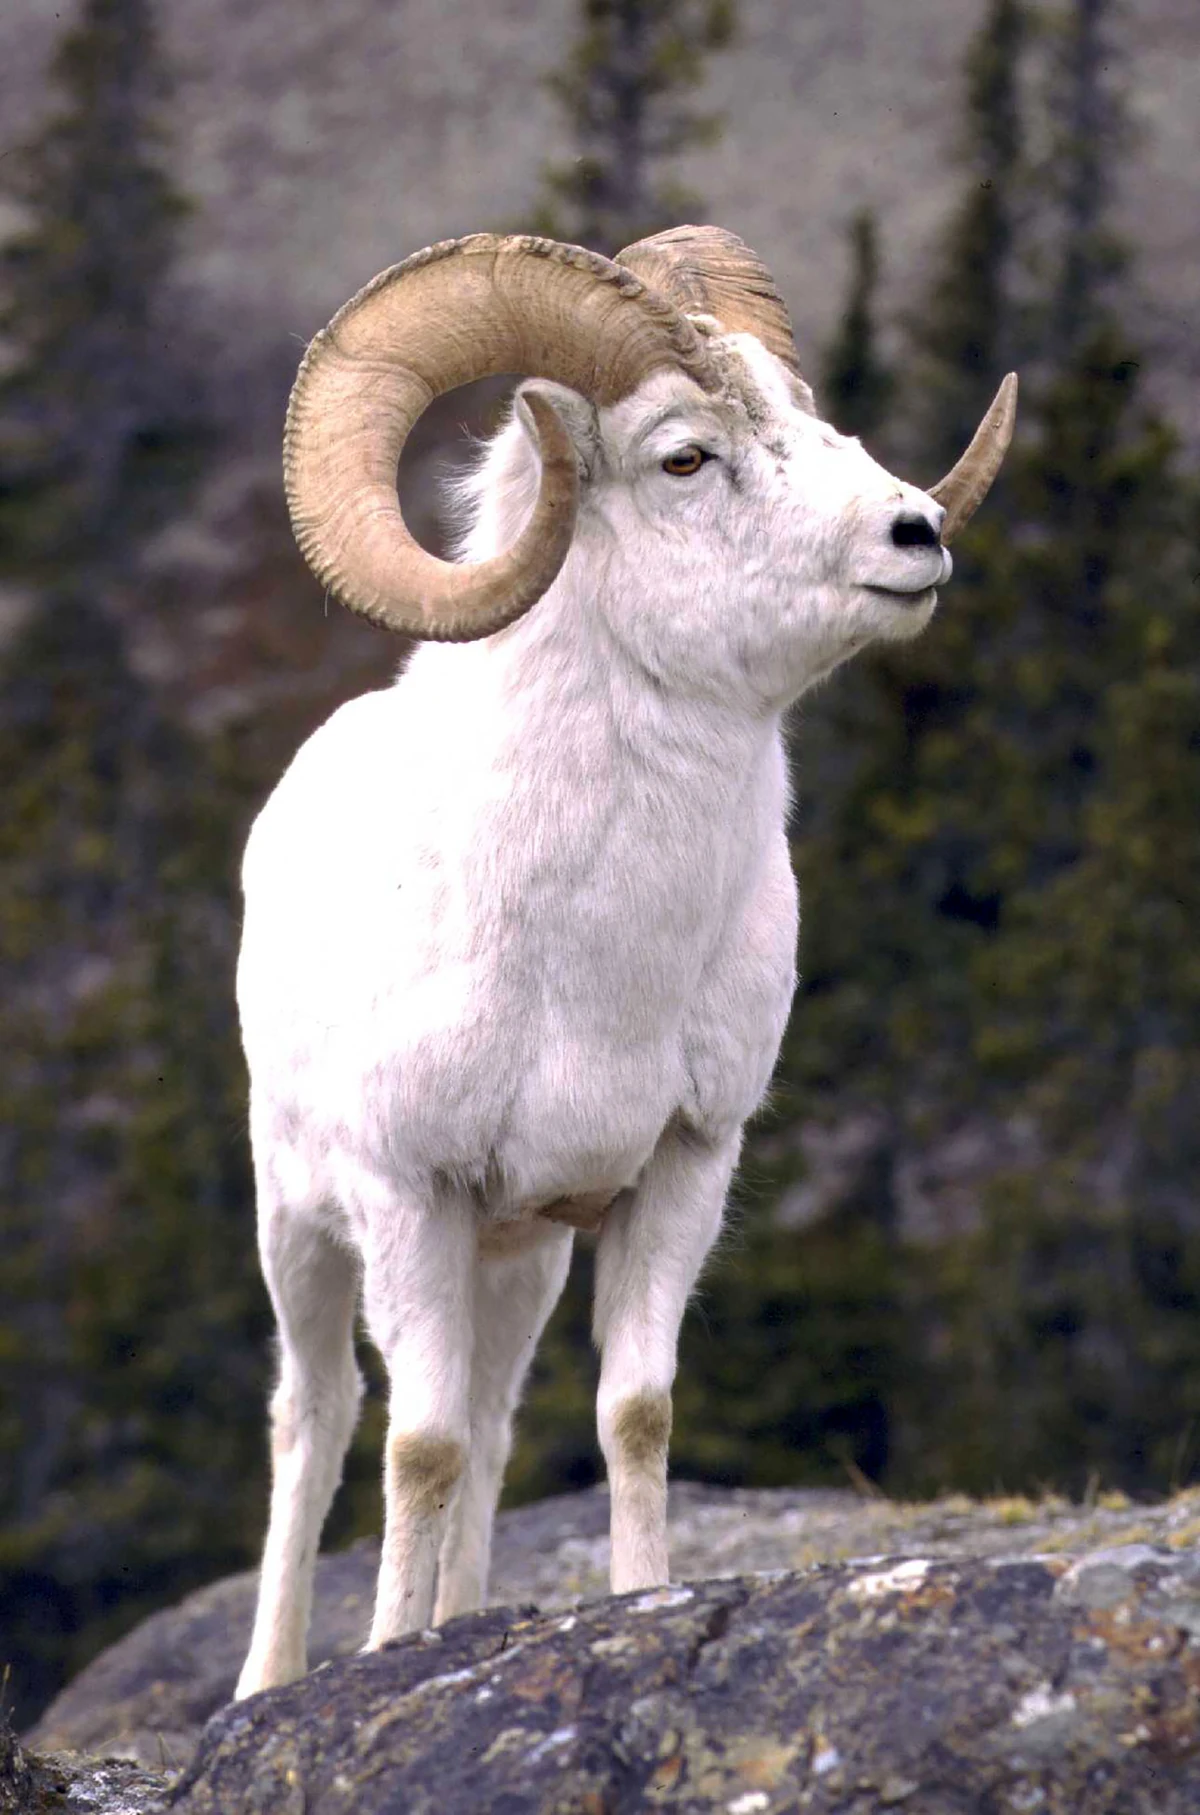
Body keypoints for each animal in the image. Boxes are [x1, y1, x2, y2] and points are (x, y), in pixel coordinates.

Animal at [233, 228, 1015, 1698]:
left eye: (809, 413)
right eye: (685, 457)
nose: (917, 537)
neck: (589, 969)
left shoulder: (677, 1171)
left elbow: (630, 1415)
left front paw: (637, 1606)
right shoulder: (410, 1198)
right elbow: (413, 1446)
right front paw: (388, 1654)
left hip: (519, 1256)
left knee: (489, 1421)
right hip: (303, 1230)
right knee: (318, 1422)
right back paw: (273, 1678)